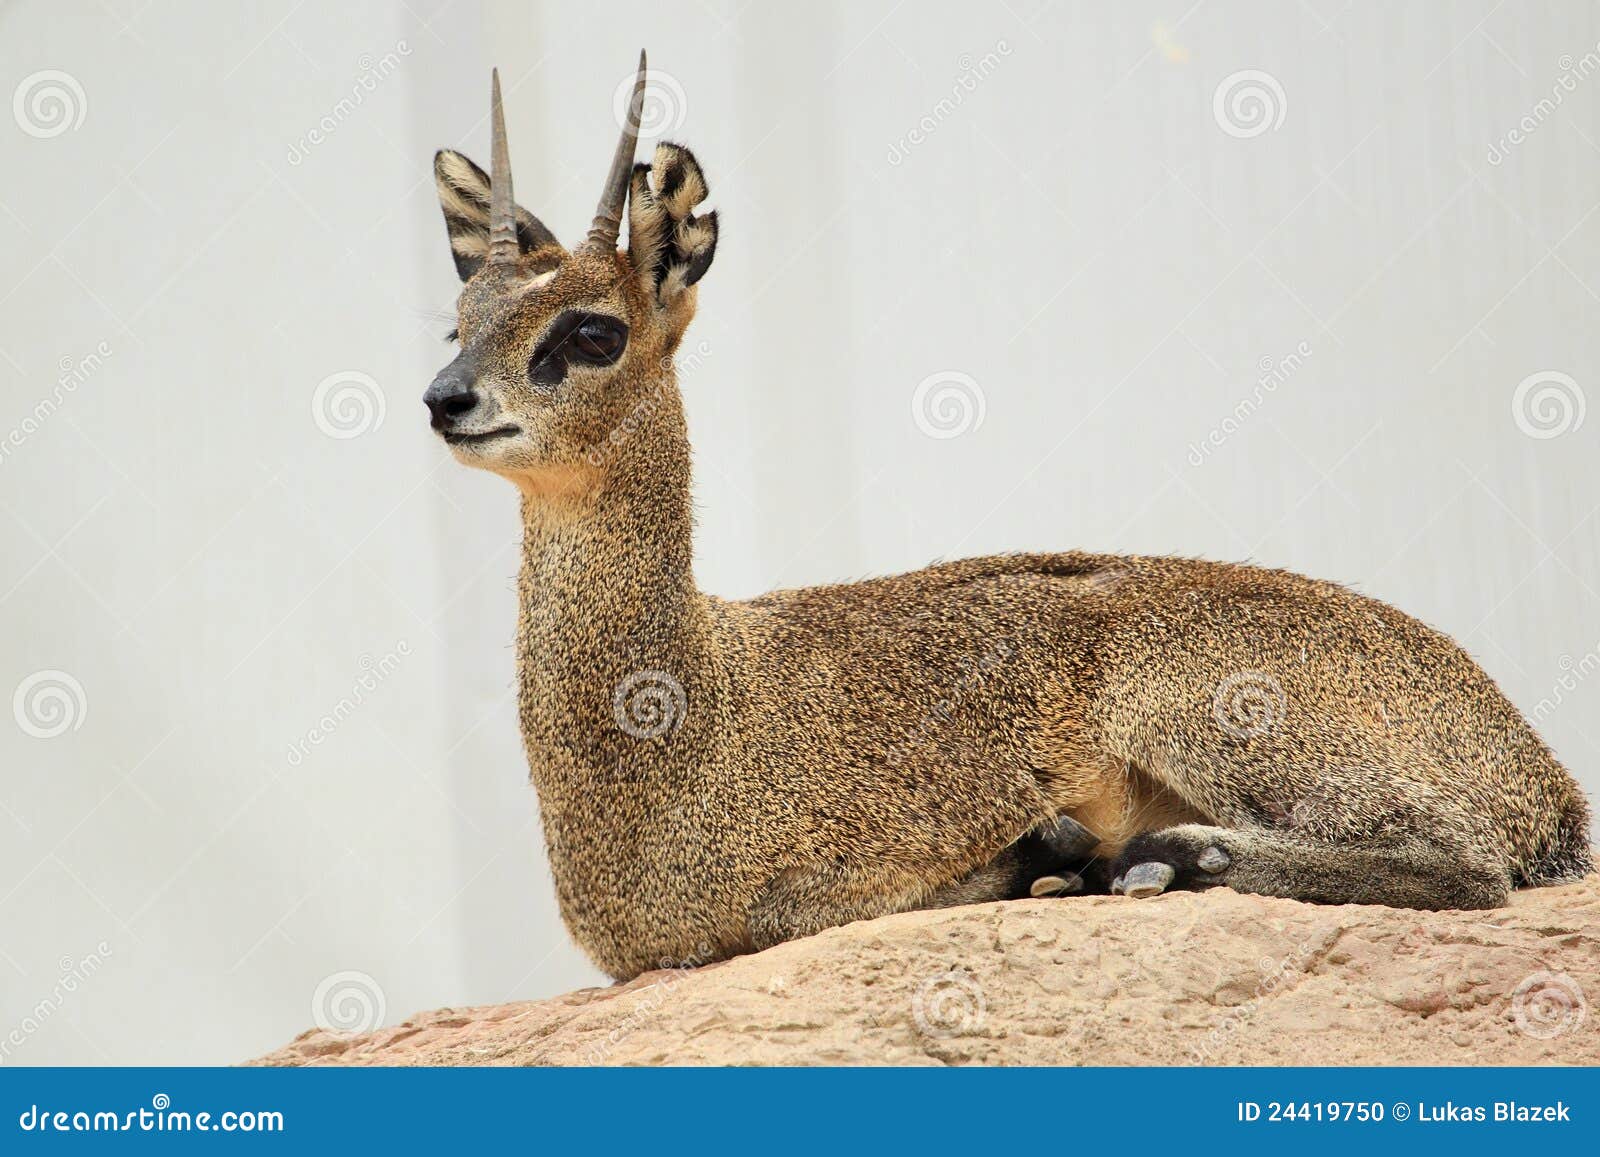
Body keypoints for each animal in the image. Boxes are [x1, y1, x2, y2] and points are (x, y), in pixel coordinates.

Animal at [423, 53, 1592, 980]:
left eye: (592, 330)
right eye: (458, 320)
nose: (446, 399)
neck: (704, 705)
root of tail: (1539, 777)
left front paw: (1050, 853)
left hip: (1215, 713)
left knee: (1464, 863)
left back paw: (1156, 859)